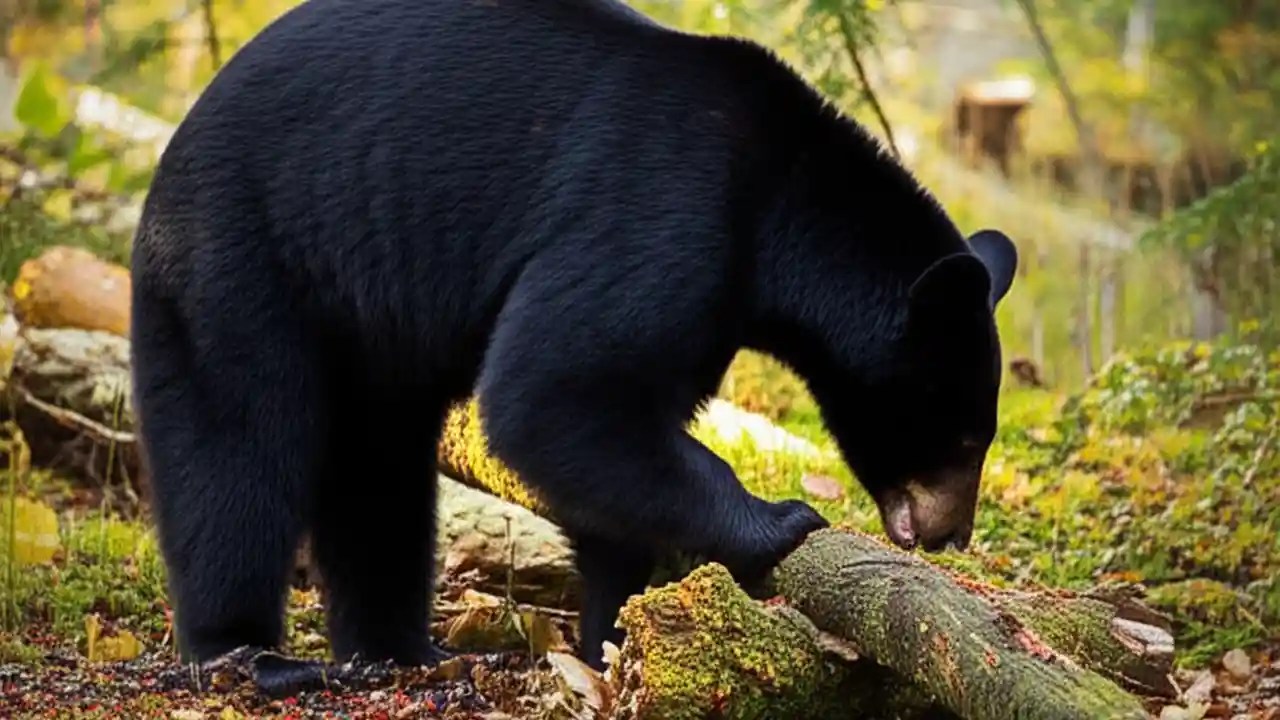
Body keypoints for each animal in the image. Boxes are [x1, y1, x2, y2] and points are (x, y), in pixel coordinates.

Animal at [128, 0, 1017, 690]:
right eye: (966, 436)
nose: (952, 535)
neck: (783, 205)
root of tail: (169, 152)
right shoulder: (667, 210)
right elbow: (558, 390)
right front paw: (779, 520)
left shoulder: (711, 297)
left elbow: (613, 442)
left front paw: (613, 629)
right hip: (244, 257)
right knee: (238, 446)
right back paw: (252, 655)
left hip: (362, 321)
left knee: (378, 467)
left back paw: (404, 649)